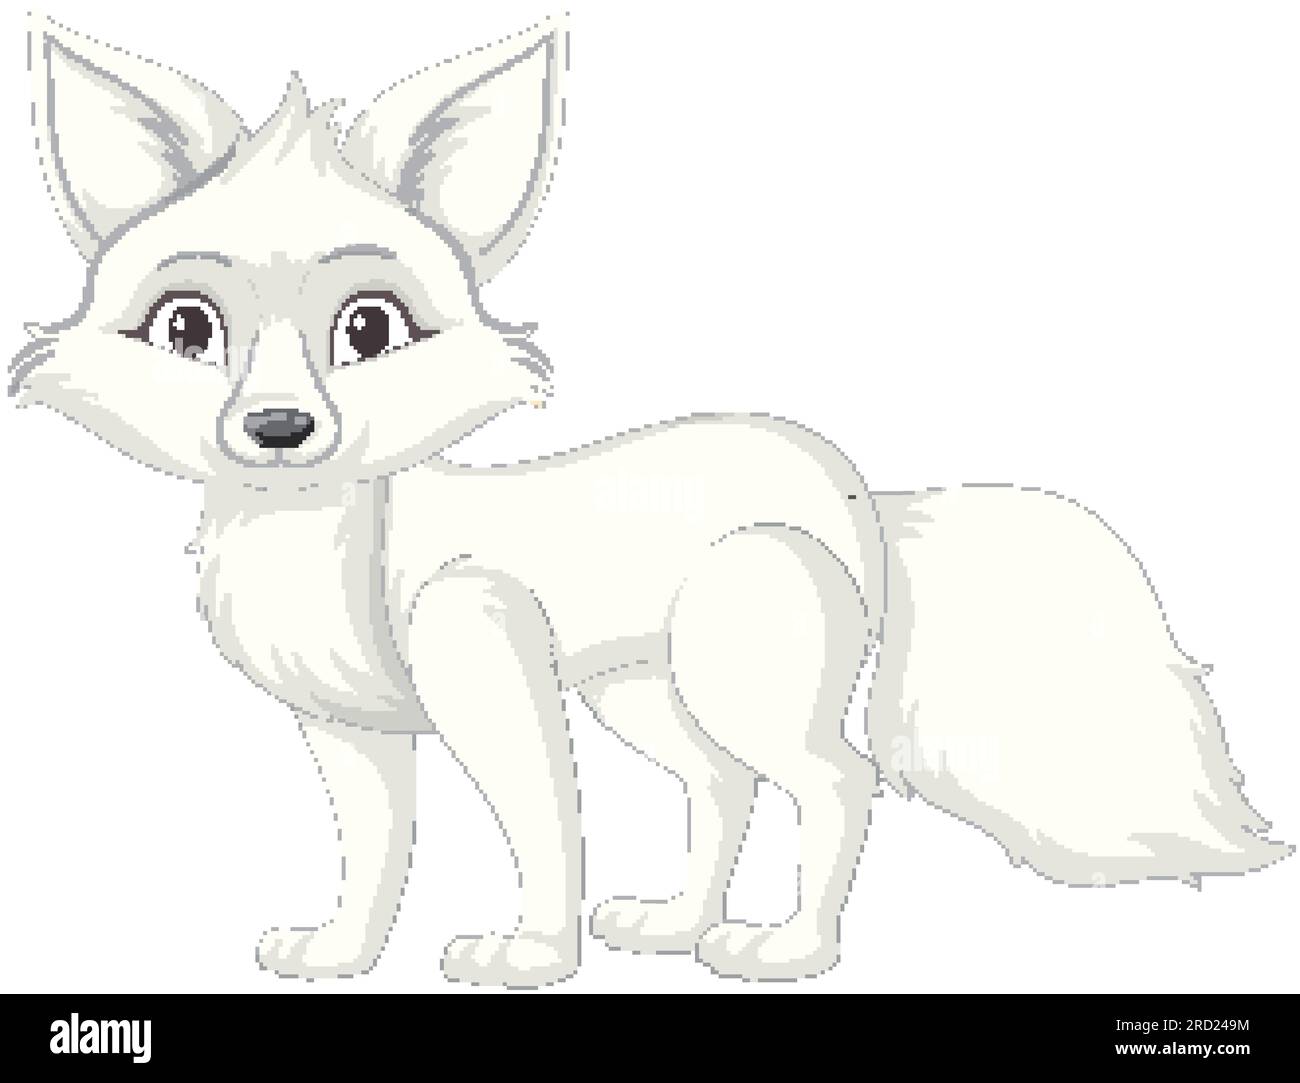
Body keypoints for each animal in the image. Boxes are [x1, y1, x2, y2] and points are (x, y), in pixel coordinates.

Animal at [11, 12, 1291, 989]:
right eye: (188, 330)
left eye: (368, 329)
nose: (279, 430)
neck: (329, 556)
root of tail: (863, 491)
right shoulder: (350, 735)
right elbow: (376, 856)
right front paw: (340, 955)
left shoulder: (488, 663)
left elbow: (541, 825)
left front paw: (530, 956)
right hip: (644, 695)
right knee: (722, 787)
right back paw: (676, 927)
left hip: (738, 669)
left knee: (833, 779)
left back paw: (785, 949)